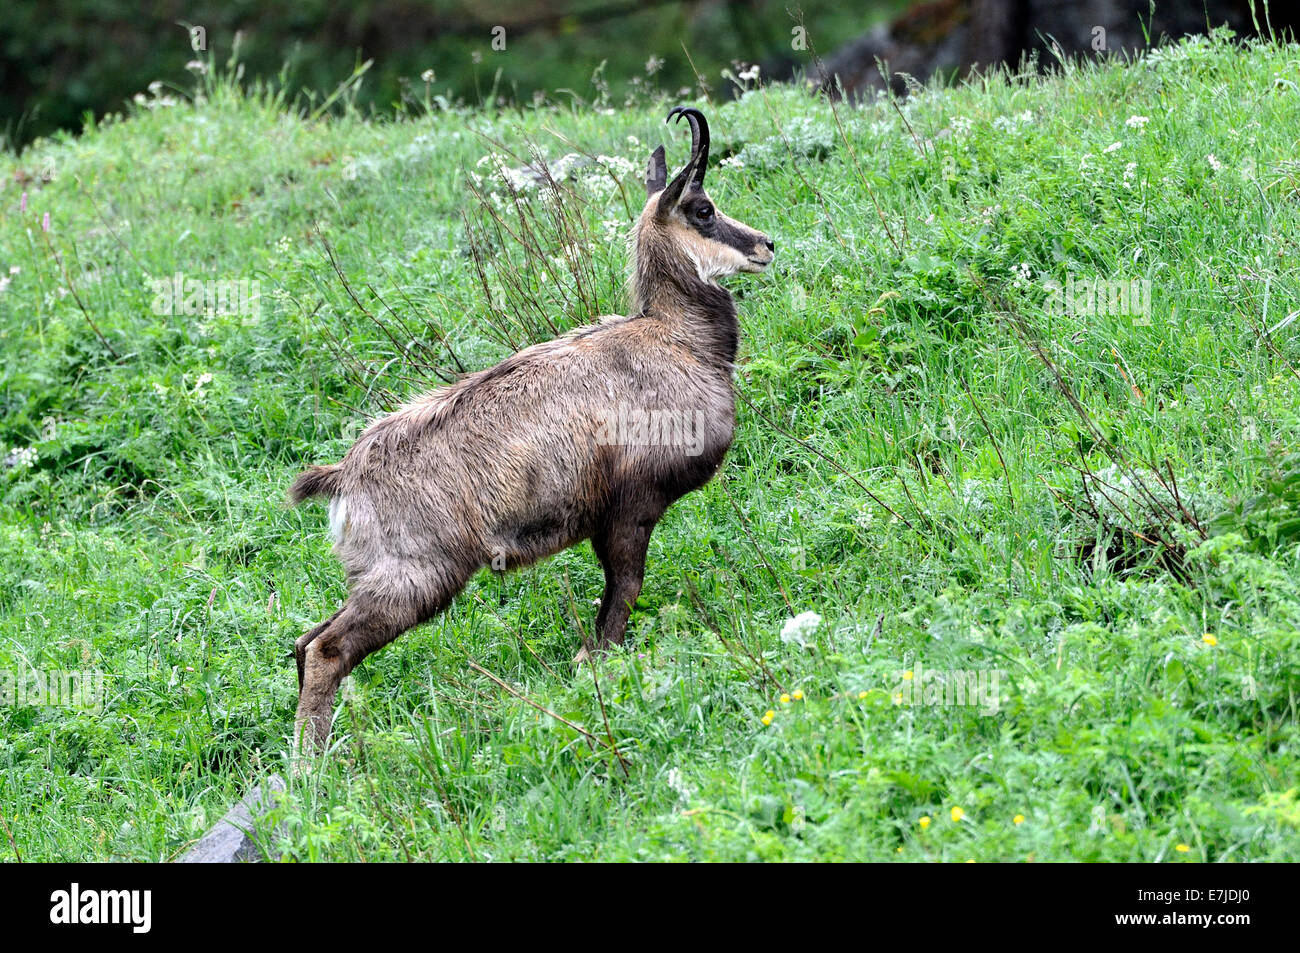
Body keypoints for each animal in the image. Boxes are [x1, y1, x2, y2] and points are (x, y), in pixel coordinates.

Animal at [288, 106, 774, 751]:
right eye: (703, 209)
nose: (766, 244)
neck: (678, 341)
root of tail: (343, 476)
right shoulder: (630, 509)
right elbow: (621, 597)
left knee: (304, 641)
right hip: (414, 576)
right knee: (326, 649)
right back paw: (312, 766)